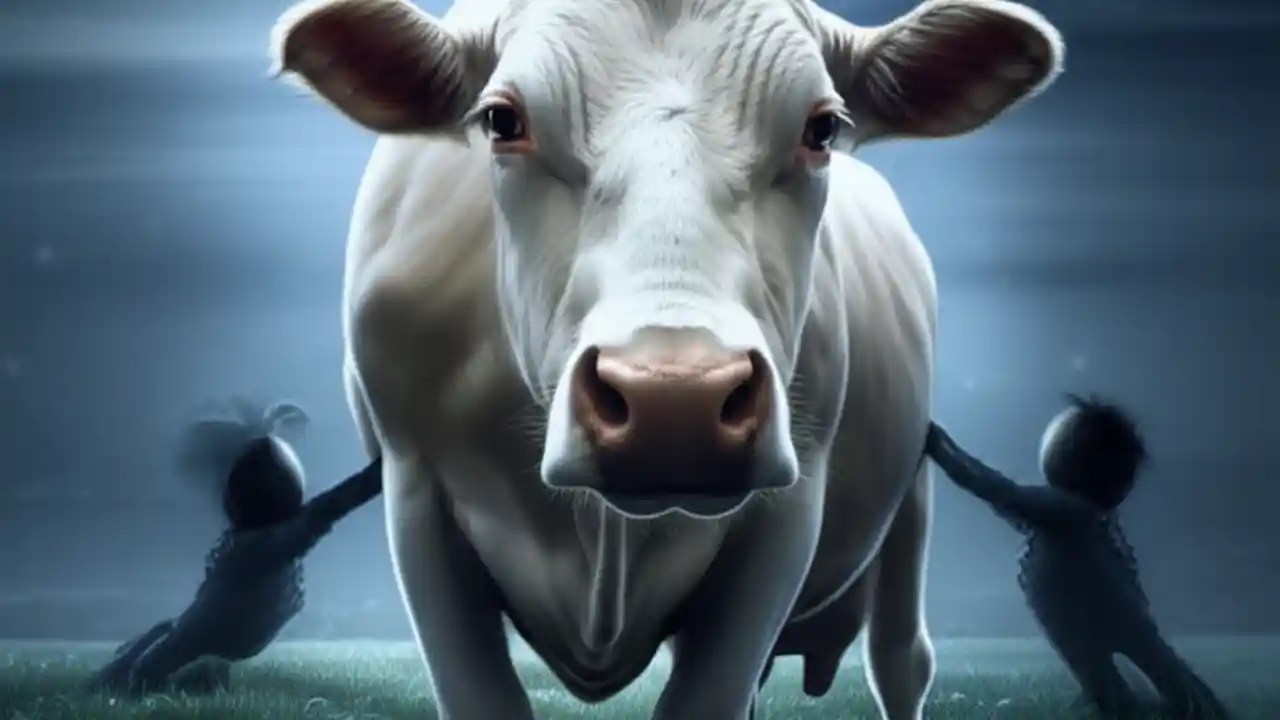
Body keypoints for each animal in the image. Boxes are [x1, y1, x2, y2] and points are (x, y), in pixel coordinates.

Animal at [269, 0, 1063, 717]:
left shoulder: (789, 511)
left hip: (911, 499)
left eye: (821, 129)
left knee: (902, 660)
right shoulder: (415, 490)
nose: (673, 401)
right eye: (502, 121)